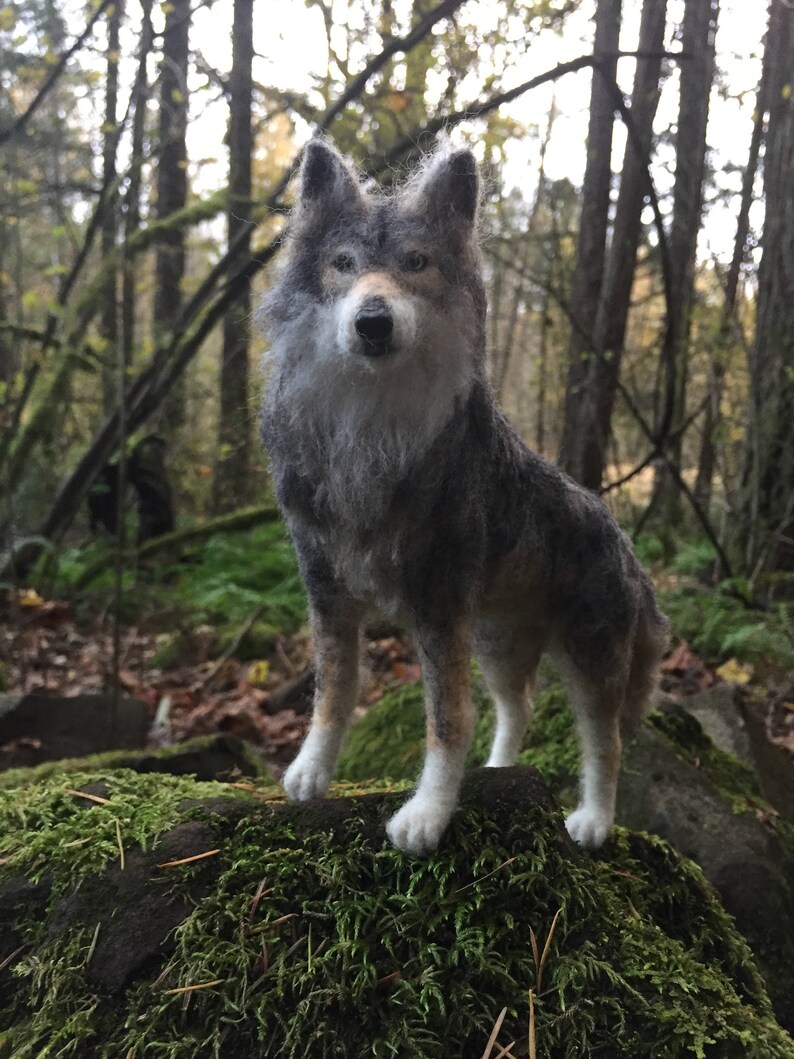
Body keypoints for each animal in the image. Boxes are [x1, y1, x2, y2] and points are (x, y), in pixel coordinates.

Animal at [259, 137, 669, 856]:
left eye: (416, 263)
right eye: (344, 264)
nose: (372, 322)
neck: (370, 424)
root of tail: (625, 544)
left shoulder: (439, 605)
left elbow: (447, 719)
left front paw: (428, 814)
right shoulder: (327, 591)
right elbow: (333, 692)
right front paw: (312, 771)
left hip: (589, 662)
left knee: (606, 743)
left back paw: (593, 820)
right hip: (499, 645)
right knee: (518, 707)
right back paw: (500, 772)